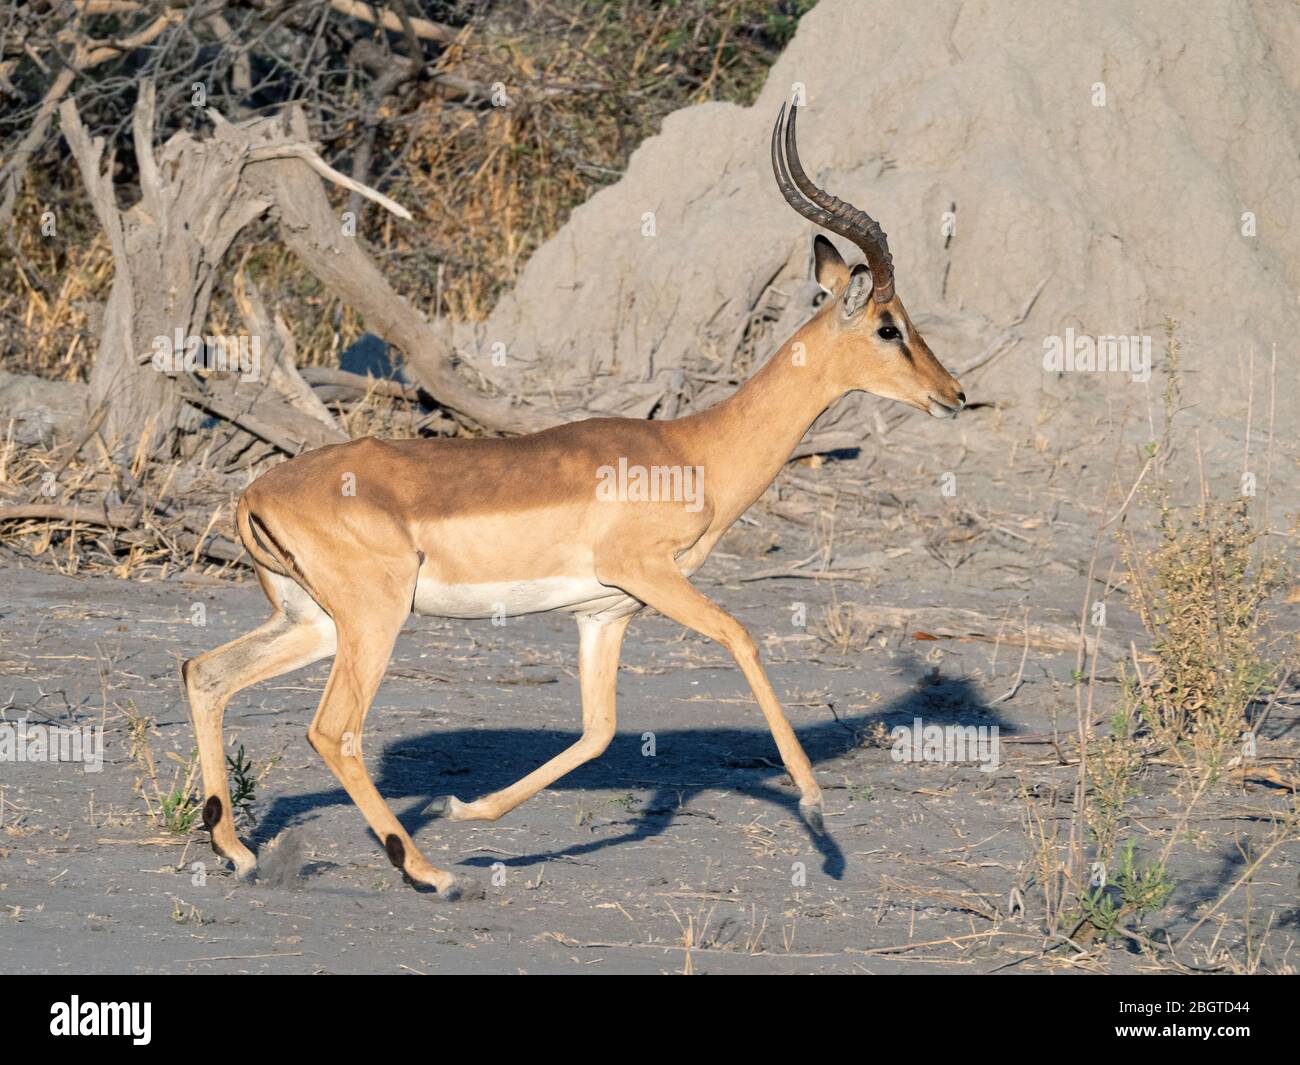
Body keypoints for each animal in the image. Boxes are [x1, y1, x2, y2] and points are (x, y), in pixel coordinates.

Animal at [183, 103, 966, 899]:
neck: (692, 451)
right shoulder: (649, 573)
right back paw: (429, 872)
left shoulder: (605, 612)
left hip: (312, 622)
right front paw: (812, 805)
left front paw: (468, 809)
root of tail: (254, 492)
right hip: (373, 619)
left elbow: (599, 730)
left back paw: (239, 850)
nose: (954, 394)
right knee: (332, 729)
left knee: (205, 673)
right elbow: (741, 637)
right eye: (889, 327)